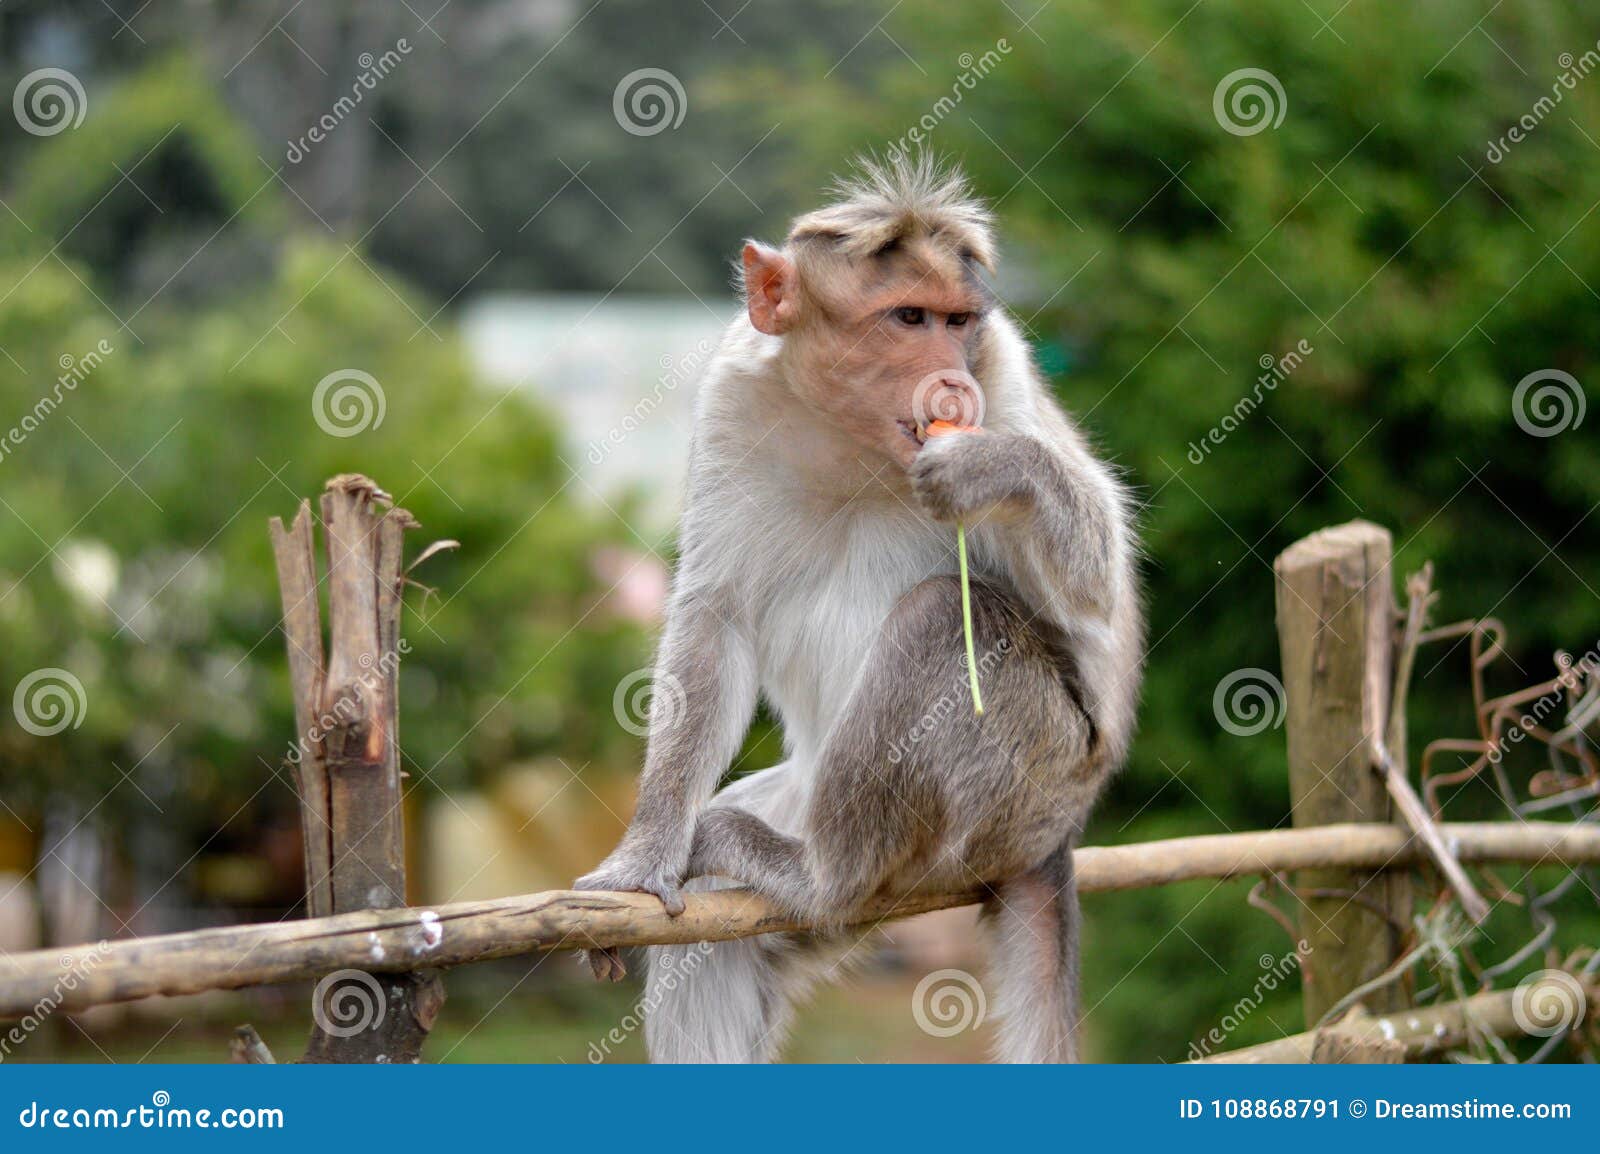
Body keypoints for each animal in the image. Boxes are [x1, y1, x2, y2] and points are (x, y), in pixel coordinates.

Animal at [573, 155, 1143, 1063]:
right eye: (908, 317)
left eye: (956, 321)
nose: (950, 374)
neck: (852, 436)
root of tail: (1060, 832)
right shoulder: (733, 394)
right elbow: (716, 618)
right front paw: (645, 851)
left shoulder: (1005, 372)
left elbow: (1094, 598)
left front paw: (993, 467)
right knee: (713, 949)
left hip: (1027, 789)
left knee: (939, 620)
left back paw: (822, 876)